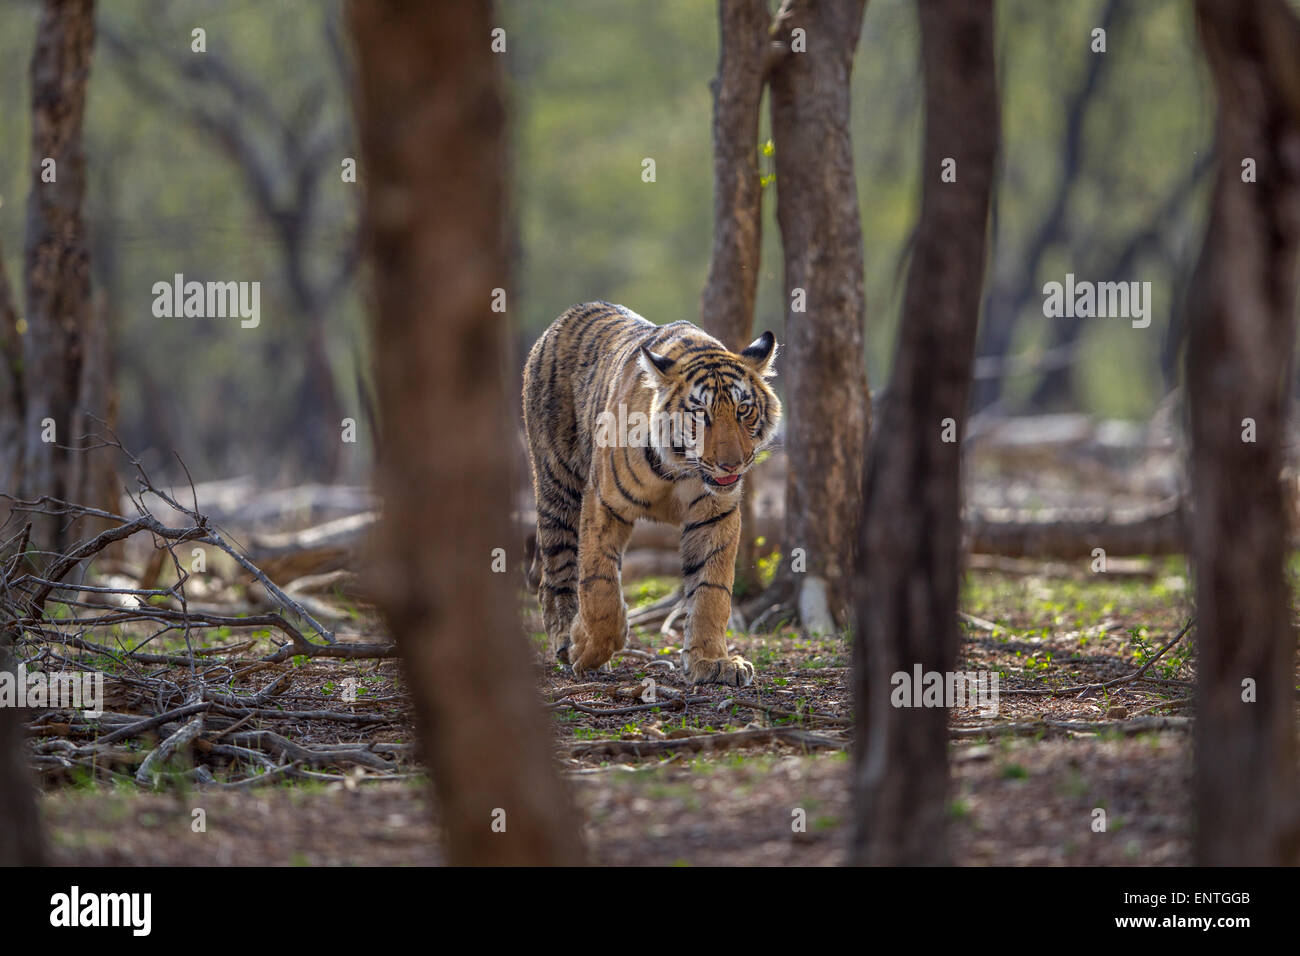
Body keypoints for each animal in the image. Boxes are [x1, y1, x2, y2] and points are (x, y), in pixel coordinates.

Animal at [522, 301, 780, 686]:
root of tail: (568, 315)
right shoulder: (603, 502)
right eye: (700, 414)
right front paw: (588, 651)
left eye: (743, 409)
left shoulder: (714, 513)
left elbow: (712, 591)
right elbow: (599, 585)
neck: (680, 466)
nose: (731, 464)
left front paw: (713, 661)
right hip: (558, 485)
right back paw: (565, 640)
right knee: (555, 574)